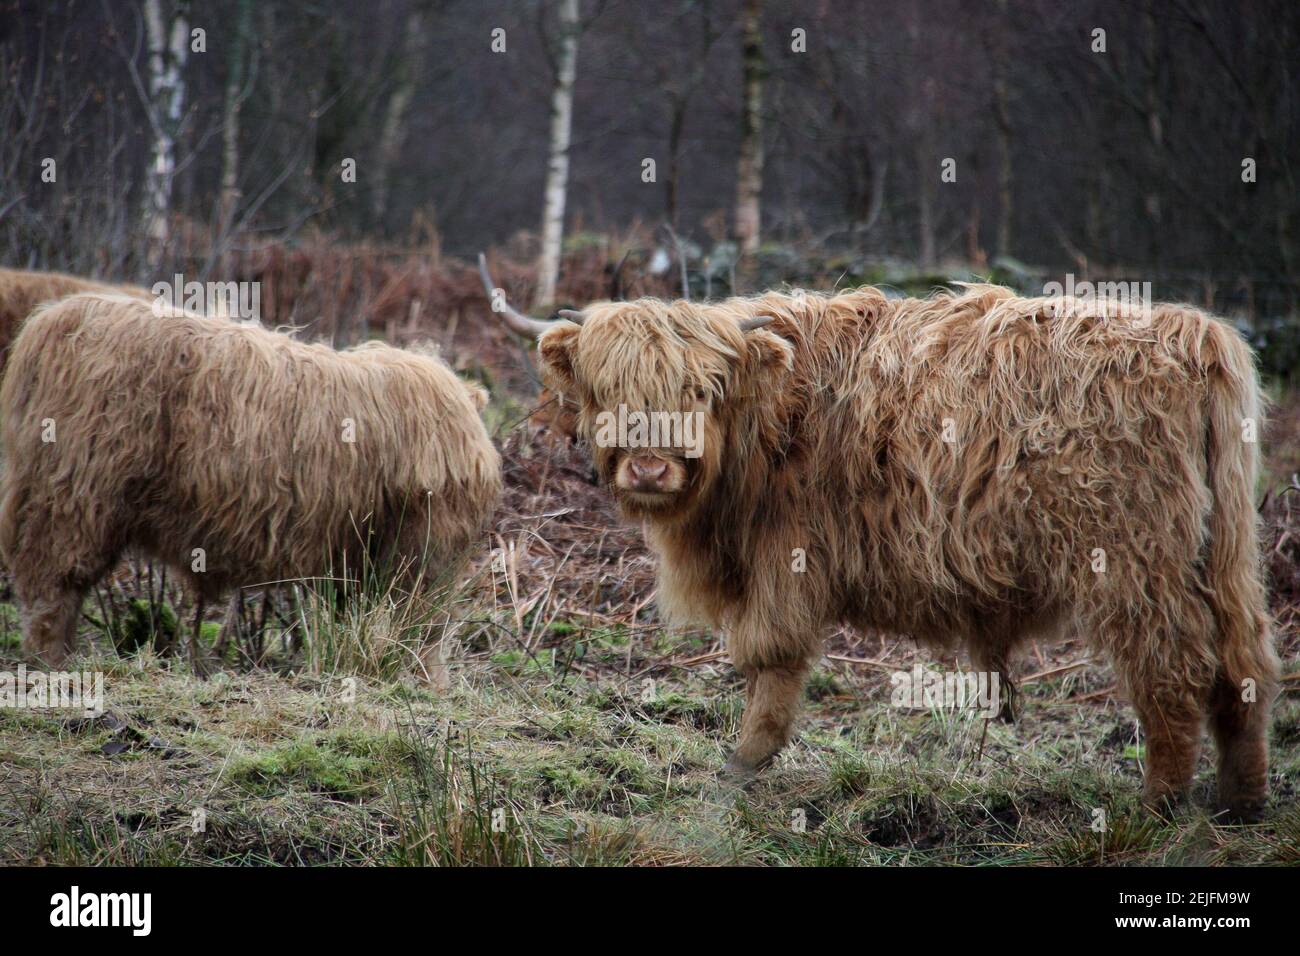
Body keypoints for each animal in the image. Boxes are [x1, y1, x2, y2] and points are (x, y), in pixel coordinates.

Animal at [0, 293, 501, 669]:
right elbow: (417, 632)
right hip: (72, 500)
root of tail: (53, 321)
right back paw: (53, 664)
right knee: (52, 591)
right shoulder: (418, 549)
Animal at [525, 284, 1280, 820]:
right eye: (607, 390)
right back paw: (1241, 803)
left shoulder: (786, 558)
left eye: (700, 390)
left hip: (1133, 562)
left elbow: (771, 661)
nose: (649, 468)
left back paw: (1160, 803)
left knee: (1174, 668)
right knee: (1242, 664)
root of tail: (1194, 333)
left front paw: (742, 765)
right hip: (1225, 554)